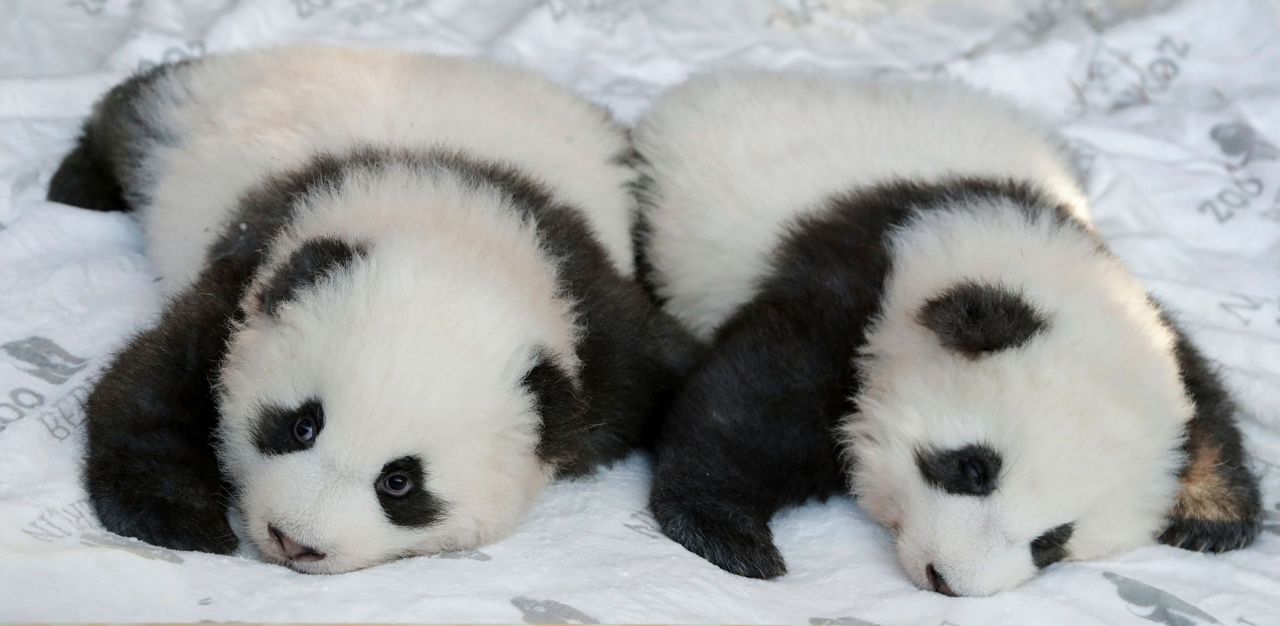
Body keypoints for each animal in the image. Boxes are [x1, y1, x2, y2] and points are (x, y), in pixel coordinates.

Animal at [47, 45, 699, 574]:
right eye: (301, 426)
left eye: (400, 483)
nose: (294, 541)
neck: (456, 230)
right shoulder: (259, 260)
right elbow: (154, 381)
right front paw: (179, 518)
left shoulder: (595, 319)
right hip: (200, 111)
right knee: (135, 115)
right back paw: (77, 184)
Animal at [633, 72, 1261, 596]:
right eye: (973, 469)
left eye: (1052, 541)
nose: (948, 580)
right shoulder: (864, 276)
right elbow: (762, 398)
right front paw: (726, 531)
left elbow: (1200, 393)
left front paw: (1214, 514)